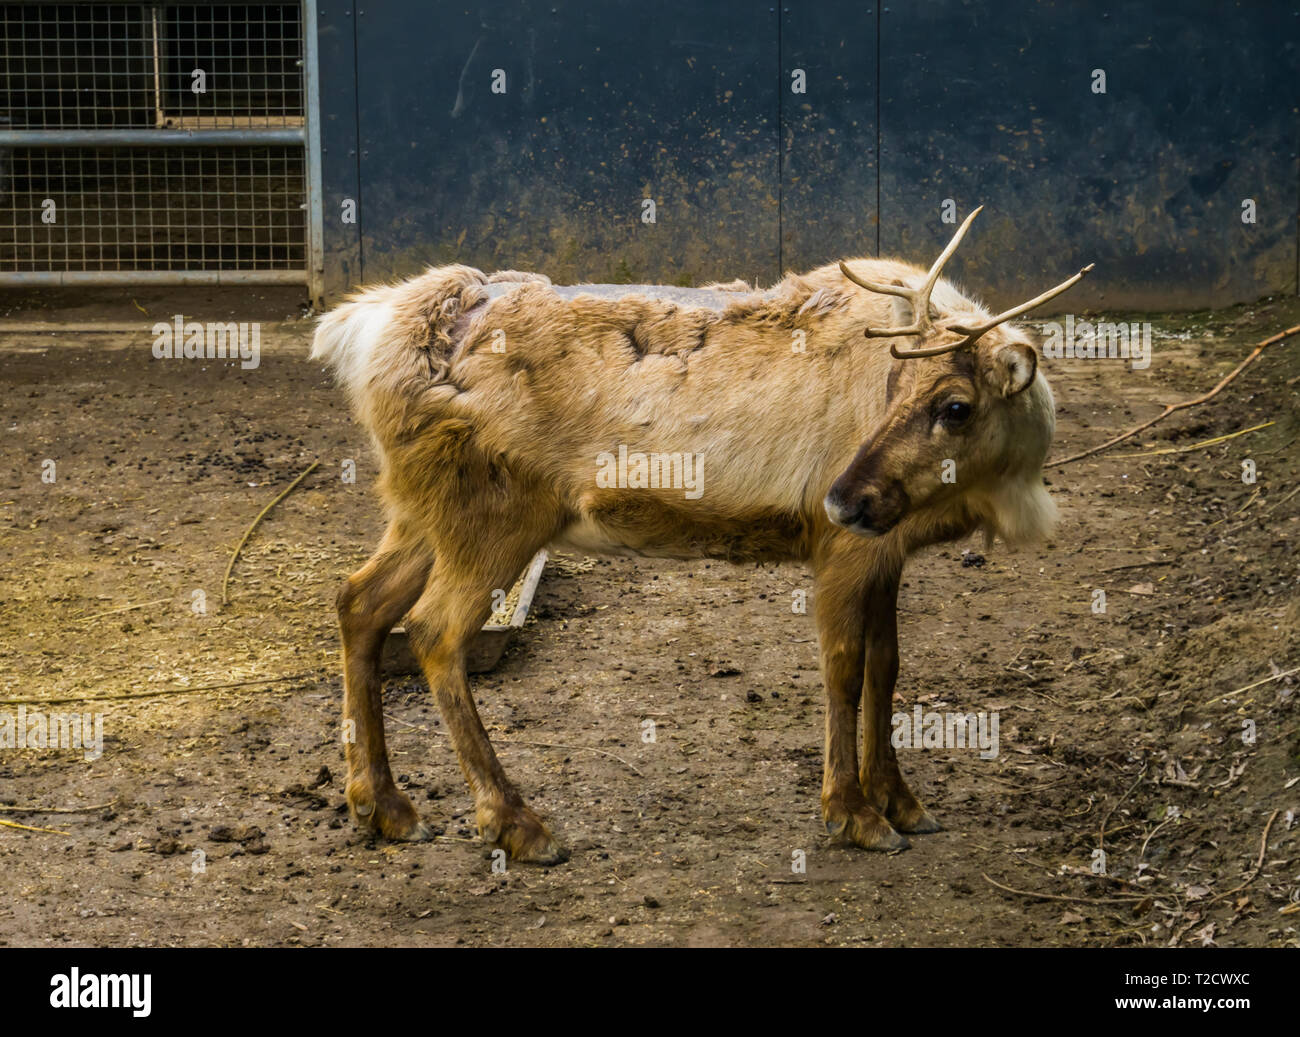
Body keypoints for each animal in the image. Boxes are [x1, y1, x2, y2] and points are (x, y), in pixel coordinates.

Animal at [311, 206, 1091, 863]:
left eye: (955, 406)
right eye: (898, 391)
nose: (841, 495)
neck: (1004, 486)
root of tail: (366, 331)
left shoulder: (884, 548)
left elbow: (888, 665)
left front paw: (902, 801)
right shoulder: (841, 548)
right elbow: (844, 669)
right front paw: (854, 813)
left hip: (421, 509)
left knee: (359, 601)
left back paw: (383, 806)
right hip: (492, 515)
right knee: (435, 631)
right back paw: (516, 822)